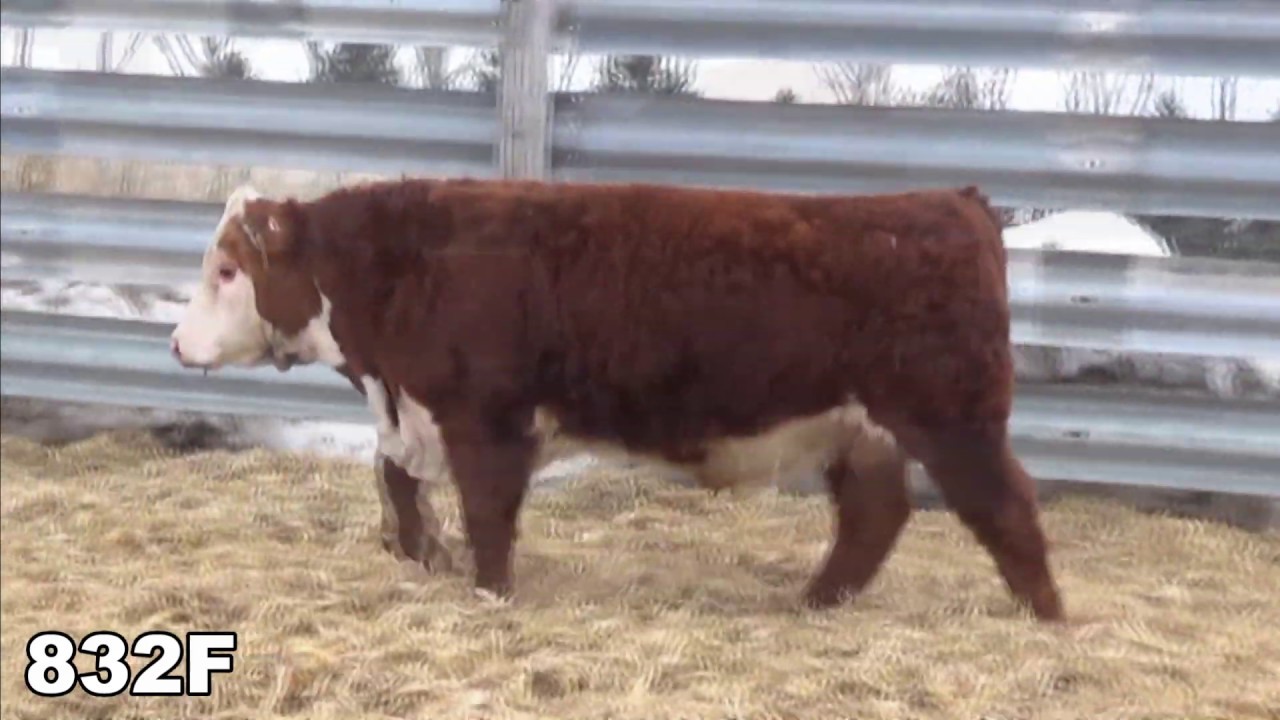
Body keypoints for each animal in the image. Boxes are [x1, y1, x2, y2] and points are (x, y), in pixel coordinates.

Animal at [169, 178, 1064, 622]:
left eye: (227, 269)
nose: (177, 346)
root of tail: (951, 203)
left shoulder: (487, 418)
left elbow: (487, 512)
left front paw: (488, 592)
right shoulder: (418, 414)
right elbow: (397, 482)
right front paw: (424, 553)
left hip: (954, 417)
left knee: (1005, 506)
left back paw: (1046, 617)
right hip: (861, 429)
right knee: (874, 519)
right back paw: (812, 604)